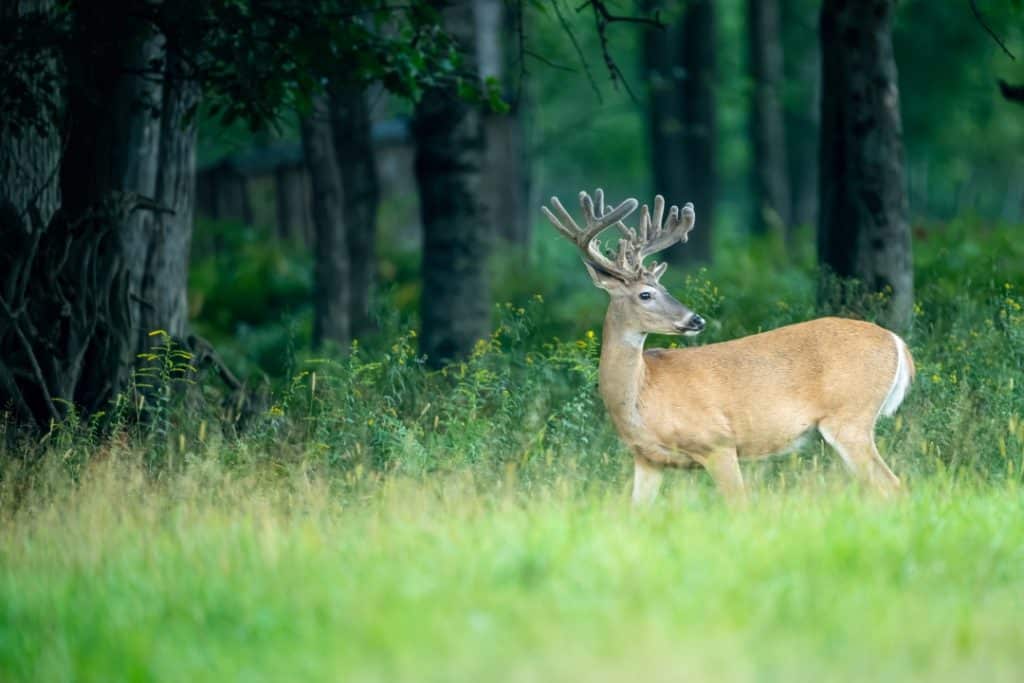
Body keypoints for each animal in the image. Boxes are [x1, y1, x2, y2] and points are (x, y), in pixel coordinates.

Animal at [541, 189, 914, 504]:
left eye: (662, 288)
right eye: (646, 294)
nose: (695, 320)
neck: (640, 396)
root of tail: (897, 343)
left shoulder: (717, 442)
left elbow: (739, 505)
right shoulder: (647, 459)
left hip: (850, 415)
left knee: (892, 484)